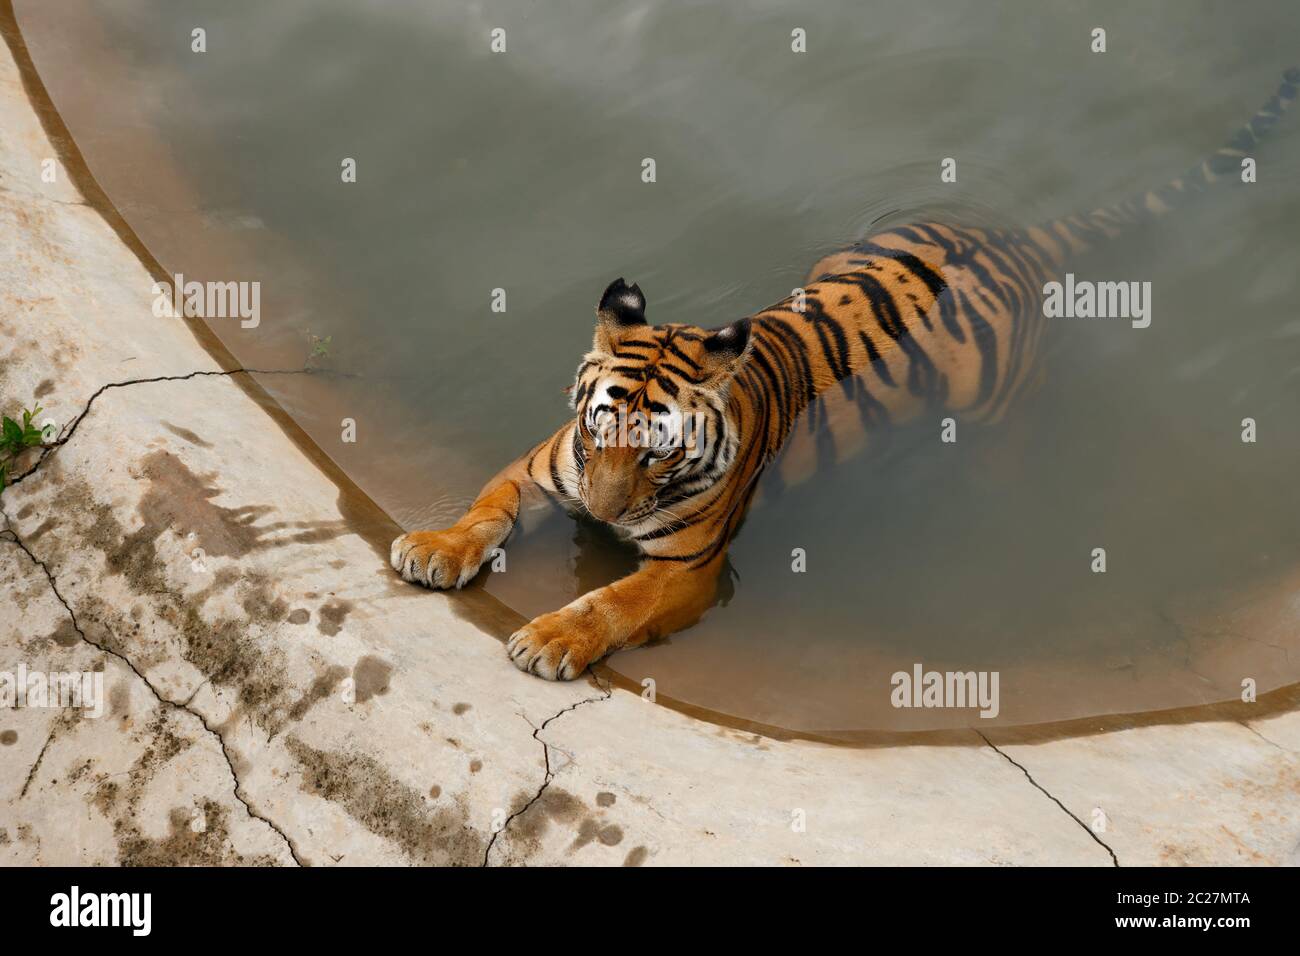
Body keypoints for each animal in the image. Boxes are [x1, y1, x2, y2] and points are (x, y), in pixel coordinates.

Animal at [393, 69, 1298, 681]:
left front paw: (551, 637)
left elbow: (613, 600)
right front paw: (434, 548)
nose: (603, 517)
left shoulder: (689, 571)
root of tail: (1017, 241)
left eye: (656, 453)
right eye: (596, 429)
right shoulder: (540, 469)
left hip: (996, 407)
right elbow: (486, 508)